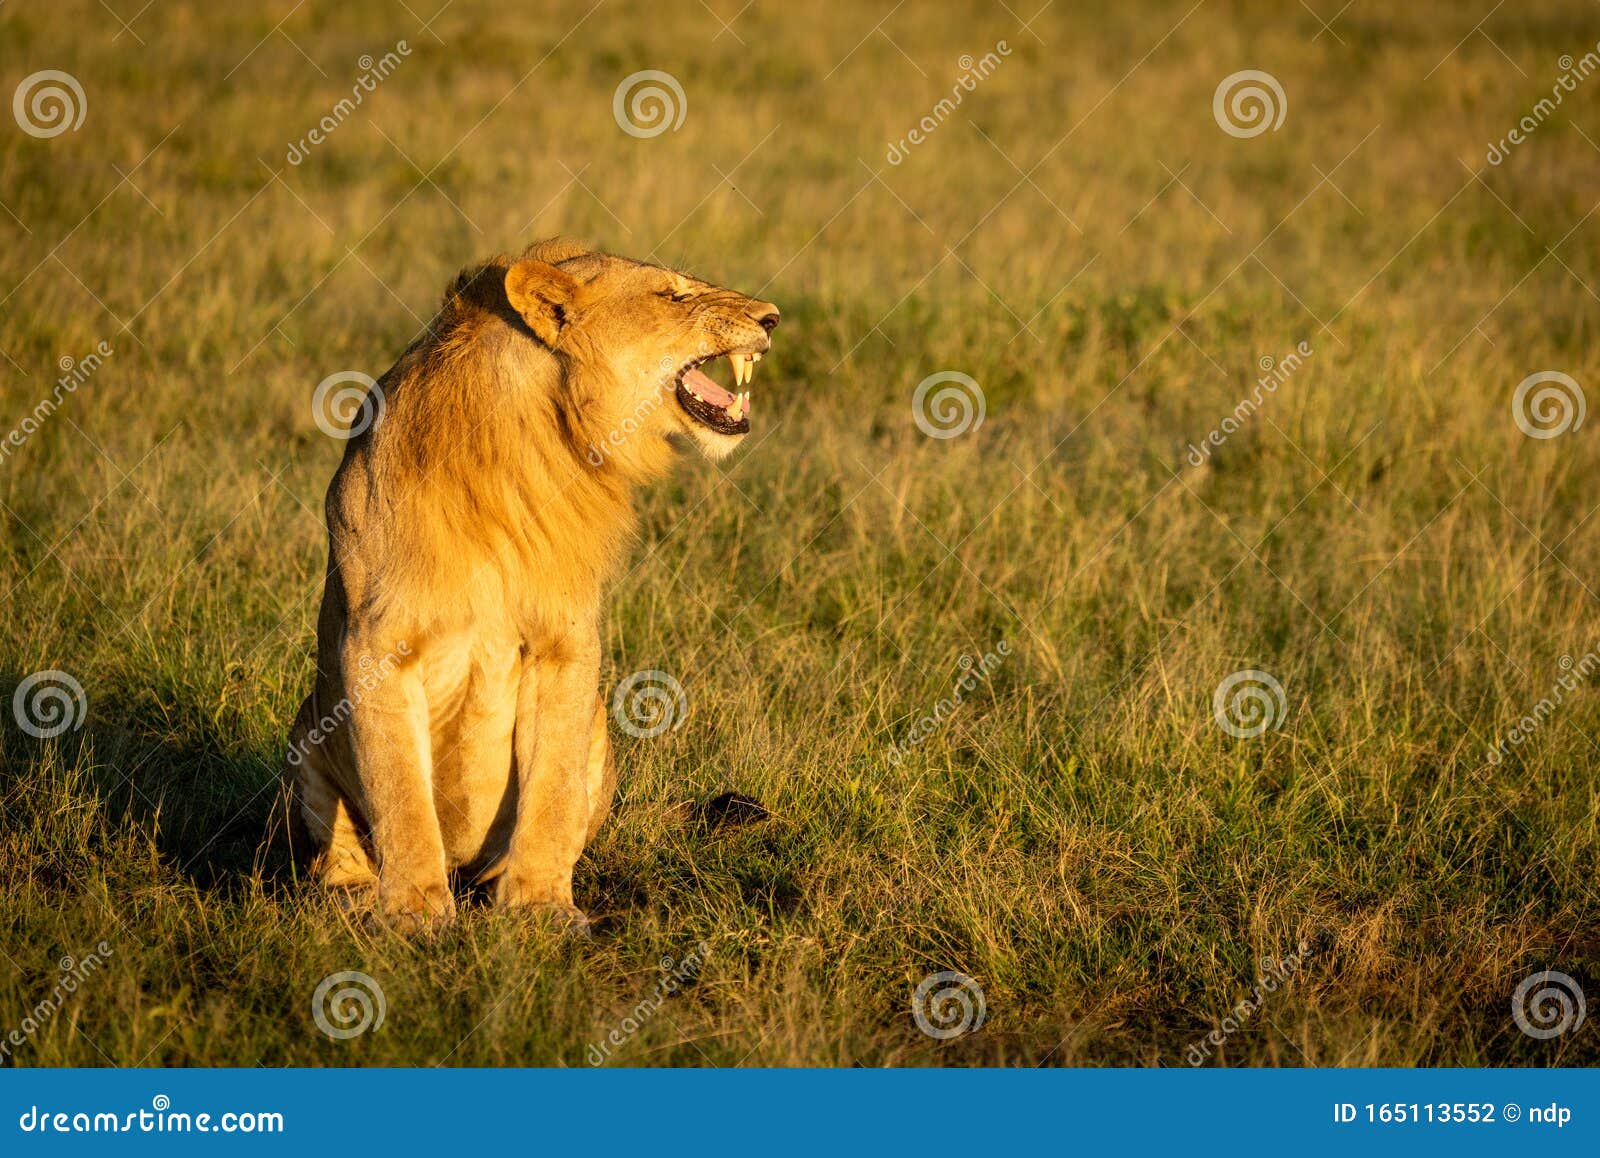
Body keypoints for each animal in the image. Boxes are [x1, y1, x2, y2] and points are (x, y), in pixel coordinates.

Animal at [283, 239, 779, 932]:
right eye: (672, 294)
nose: (773, 318)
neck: (538, 441)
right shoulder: (376, 642)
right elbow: (400, 790)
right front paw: (413, 913)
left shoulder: (565, 643)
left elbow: (551, 788)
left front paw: (540, 905)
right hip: (305, 734)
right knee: (341, 847)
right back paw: (351, 895)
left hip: (599, 733)